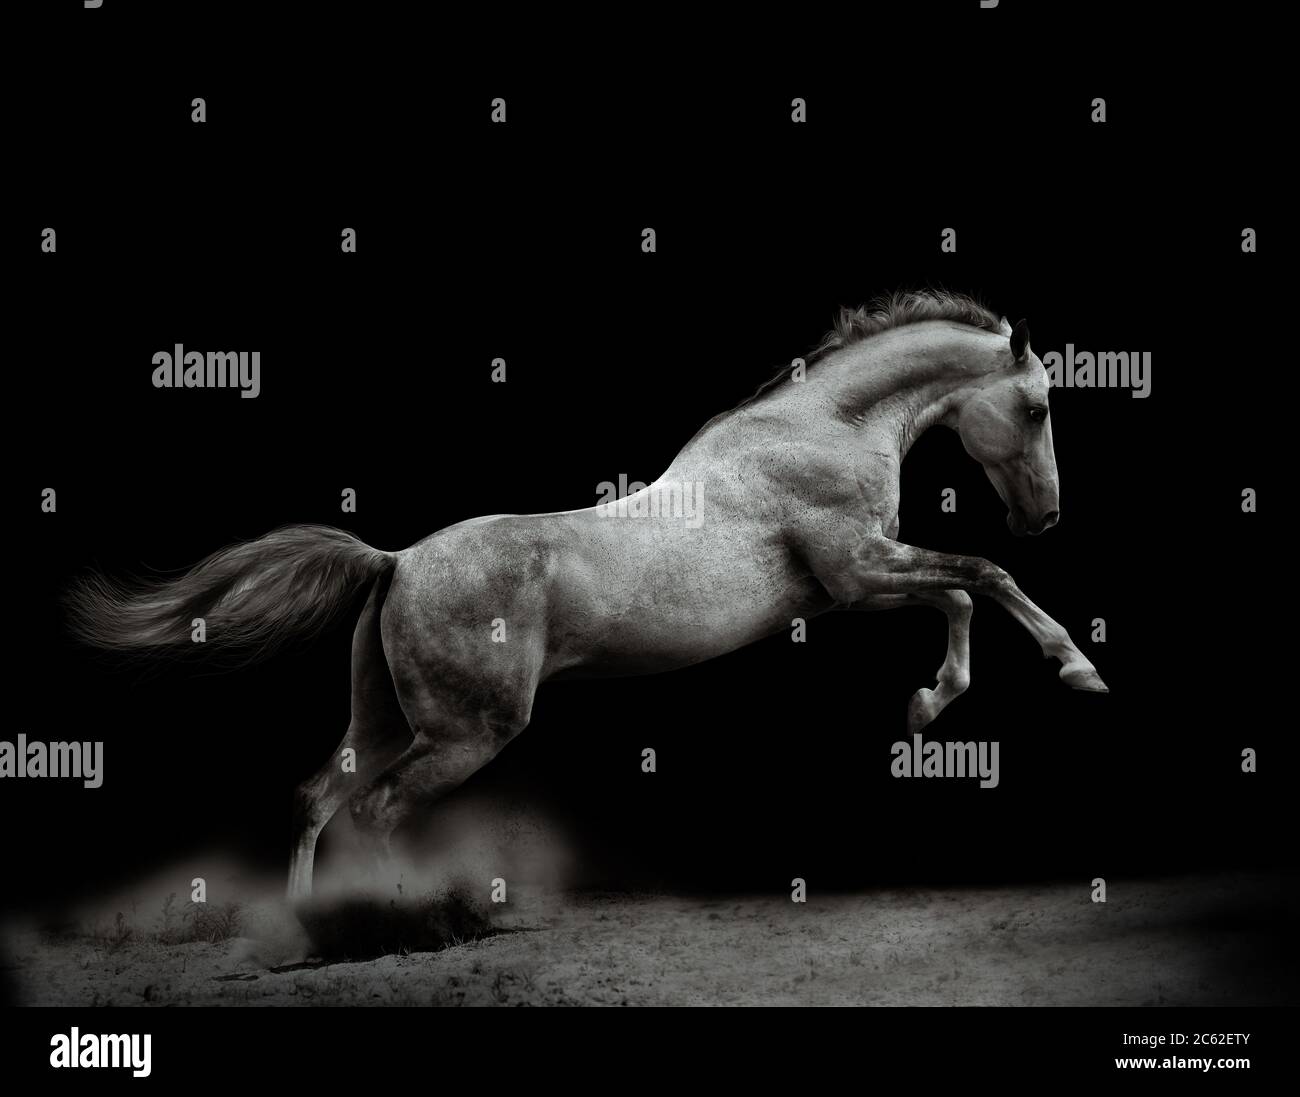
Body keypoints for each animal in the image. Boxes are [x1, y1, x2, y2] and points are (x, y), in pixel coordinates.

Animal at [65, 289, 1107, 901]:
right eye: (1038, 406)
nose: (1048, 515)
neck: (818, 428)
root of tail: (396, 560)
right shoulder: (857, 568)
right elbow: (984, 578)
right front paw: (1074, 668)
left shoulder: (850, 587)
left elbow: (964, 595)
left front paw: (928, 708)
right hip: (467, 730)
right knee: (375, 811)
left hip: (386, 715)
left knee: (320, 795)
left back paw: (310, 932)